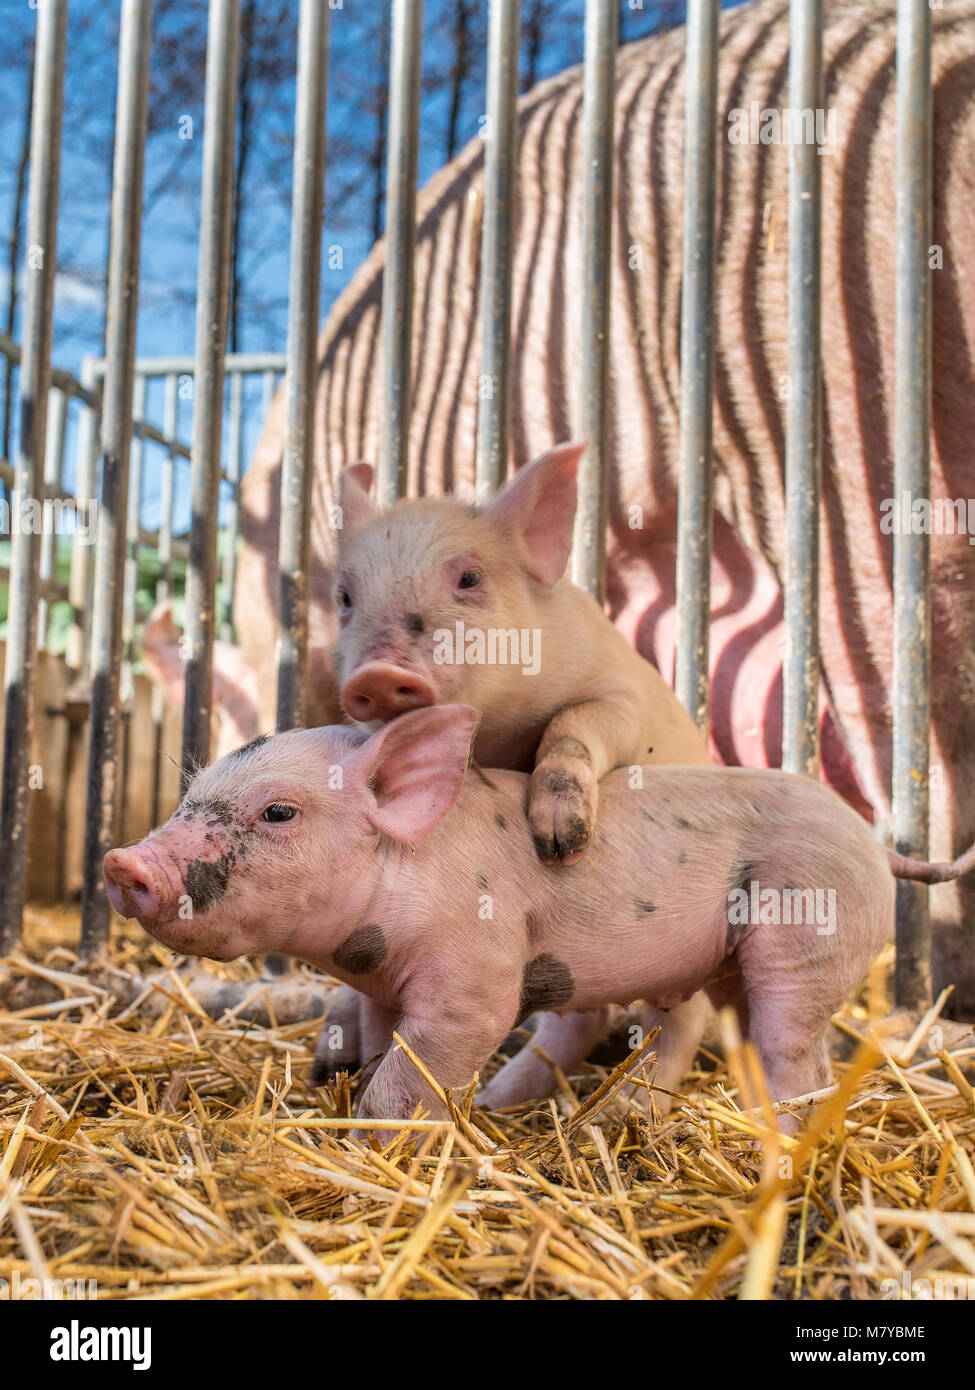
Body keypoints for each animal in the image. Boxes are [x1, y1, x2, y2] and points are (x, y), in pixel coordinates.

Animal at [103, 706, 975, 1134]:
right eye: (187, 798)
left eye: (278, 811)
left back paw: (784, 1135)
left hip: (808, 936)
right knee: (678, 1026)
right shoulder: (381, 983)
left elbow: (414, 1072)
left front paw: (376, 1141)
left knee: (790, 1041)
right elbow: (377, 1046)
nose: (121, 863)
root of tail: (875, 842)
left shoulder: (474, 976)